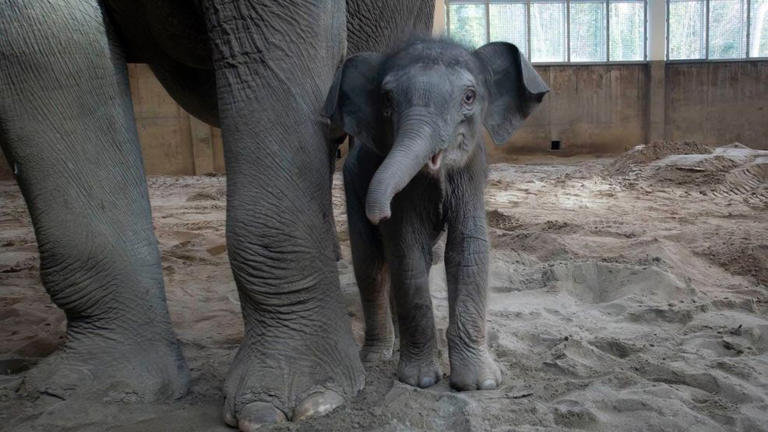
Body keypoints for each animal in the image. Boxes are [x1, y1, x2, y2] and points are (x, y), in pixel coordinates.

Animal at [322, 39, 549, 390]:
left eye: (469, 97)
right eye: (387, 99)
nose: (380, 214)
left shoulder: (472, 170)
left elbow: (467, 248)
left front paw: (480, 384)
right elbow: (407, 250)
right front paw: (420, 381)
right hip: (351, 185)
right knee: (371, 265)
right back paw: (376, 356)